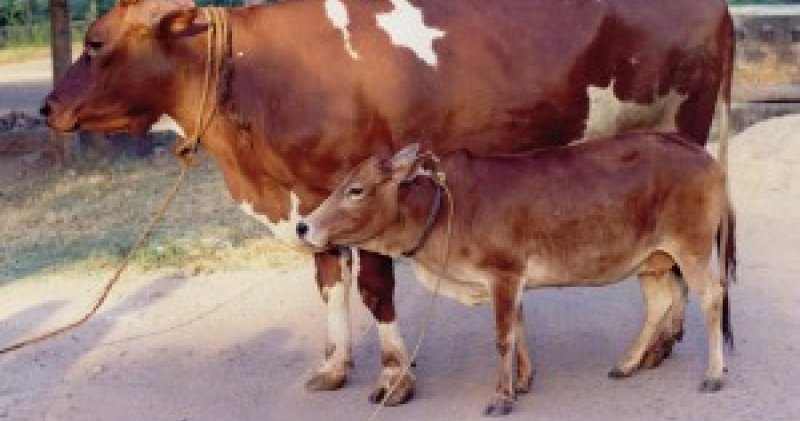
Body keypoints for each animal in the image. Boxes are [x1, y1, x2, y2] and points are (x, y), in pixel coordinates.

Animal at [298, 135, 736, 415]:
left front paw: (501, 397)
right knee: (660, 303)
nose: (303, 226)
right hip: (652, 260)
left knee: (712, 297)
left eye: (356, 190)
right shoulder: (514, 280)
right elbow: (519, 330)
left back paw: (715, 374)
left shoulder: (503, 275)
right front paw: (523, 382)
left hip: (692, 249)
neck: (443, 210)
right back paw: (626, 364)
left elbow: (503, 338)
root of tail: (707, 158)